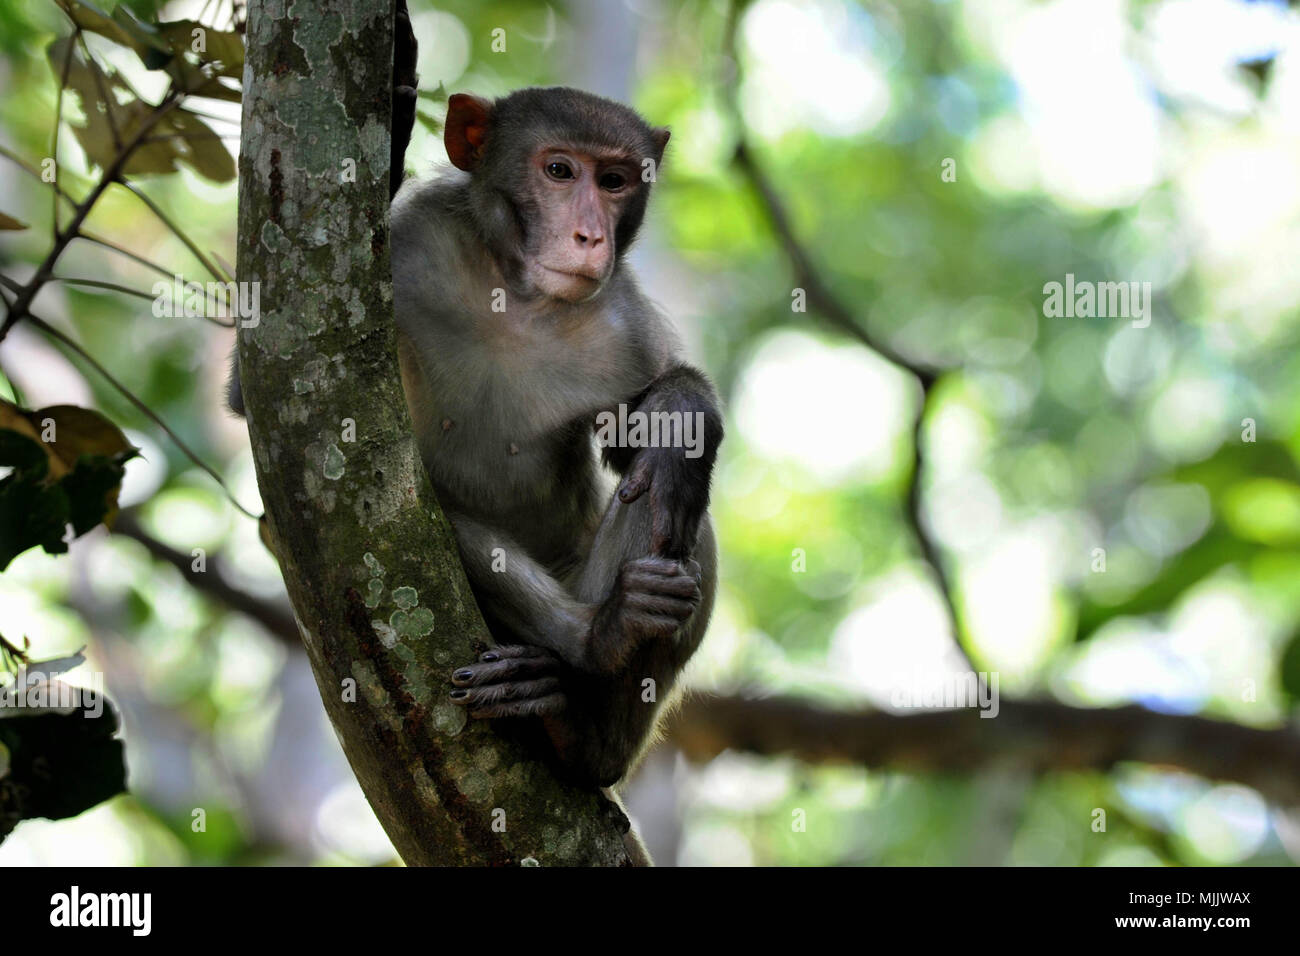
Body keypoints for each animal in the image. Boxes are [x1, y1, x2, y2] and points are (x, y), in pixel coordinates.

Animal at [230, 86, 723, 798]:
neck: (515, 295)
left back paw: (589, 740)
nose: (590, 236)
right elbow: (263, 385)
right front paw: (392, 126)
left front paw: (685, 413)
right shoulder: (414, 241)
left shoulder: (625, 330)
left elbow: (642, 440)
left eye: (614, 181)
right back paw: (599, 636)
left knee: (671, 501)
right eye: (559, 171)